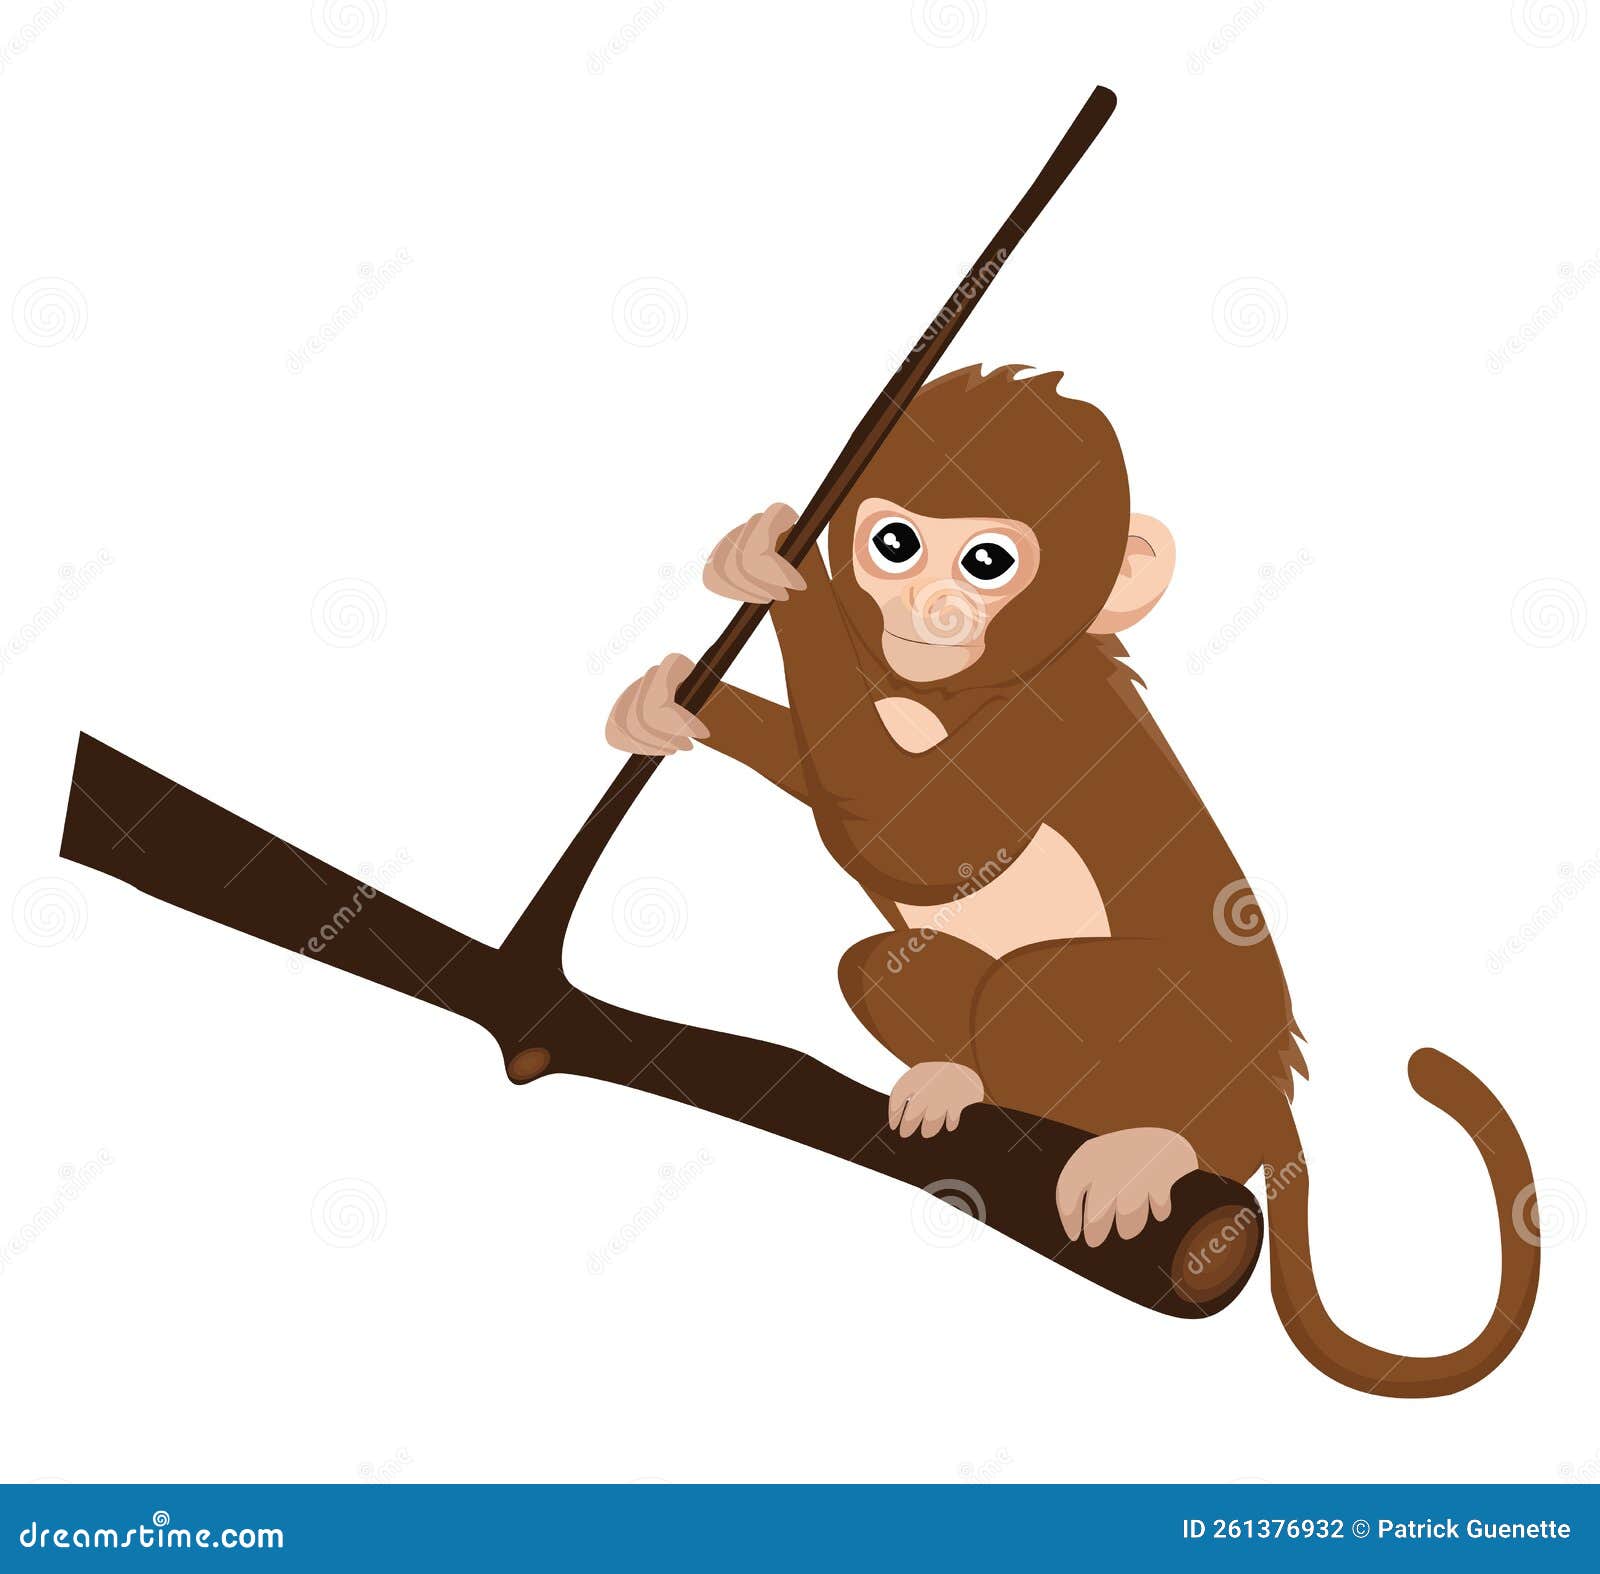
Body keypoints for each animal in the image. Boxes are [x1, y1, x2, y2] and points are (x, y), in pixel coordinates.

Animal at [606, 364, 1538, 1398]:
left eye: (986, 562)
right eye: (894, 543)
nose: (928, 604)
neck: (947, 694)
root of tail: (1273, 1098)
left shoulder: (1050, 721)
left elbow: (924, 833)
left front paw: (784, 580)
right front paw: (668, 703)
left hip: (1197, 1057)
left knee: (1042, 983)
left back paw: (1151, 1150)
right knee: (881, 963)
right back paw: (955, 1080)